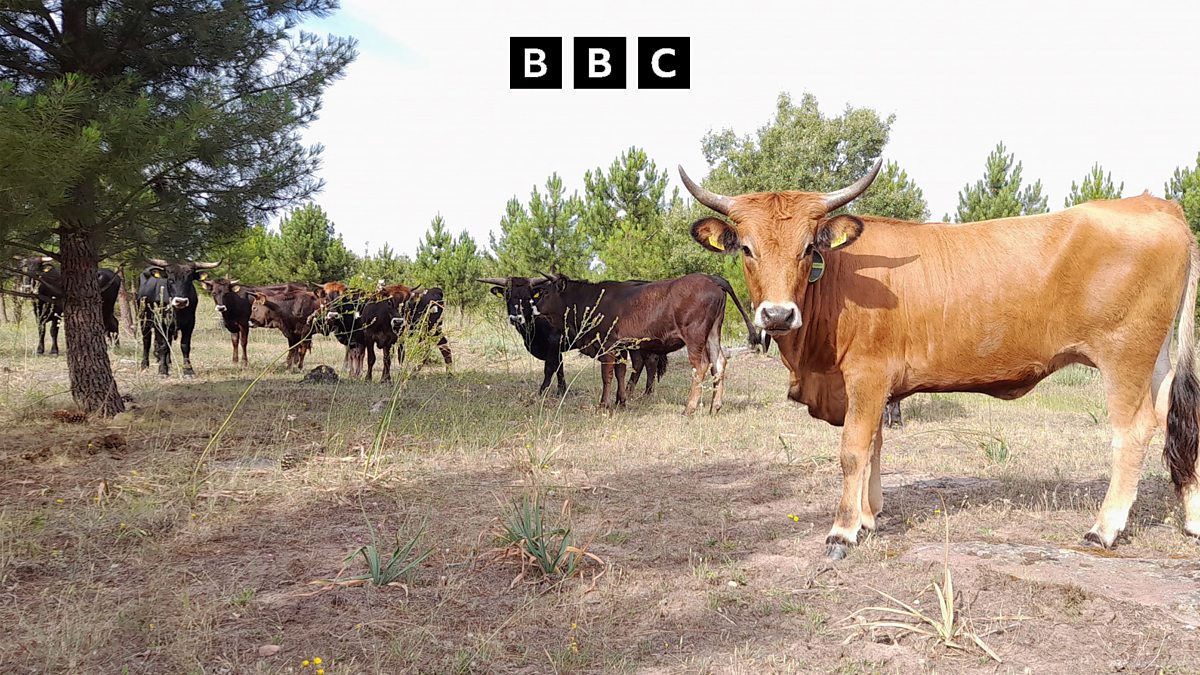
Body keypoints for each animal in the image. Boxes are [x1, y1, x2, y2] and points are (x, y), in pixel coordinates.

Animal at [523, 273, 759, 414]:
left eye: (544, 293)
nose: (531, 308)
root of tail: (711, 278)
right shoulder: (621, 347)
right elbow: (620, 373)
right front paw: (621, 401)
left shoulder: (608, 345)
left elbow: (607, 375)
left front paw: (604, 404)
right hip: (712, 332)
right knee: (719, 363)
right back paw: (714, 406)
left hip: (694, 334)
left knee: (700, 366)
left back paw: (689, 408)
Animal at [679, 159, 1200, 559]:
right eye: (747, 249)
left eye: (808, 248)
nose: (778, 314)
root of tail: (1155, 204)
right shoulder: (874, 386)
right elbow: (875, 446)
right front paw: (868, 517)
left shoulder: (866, 375)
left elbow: (853, 450)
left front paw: (843, 530)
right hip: (1154, 357)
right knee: (1173, 417)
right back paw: (1191, 519)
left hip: (1124, 354)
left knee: (1132, 430)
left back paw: (1105, 528)